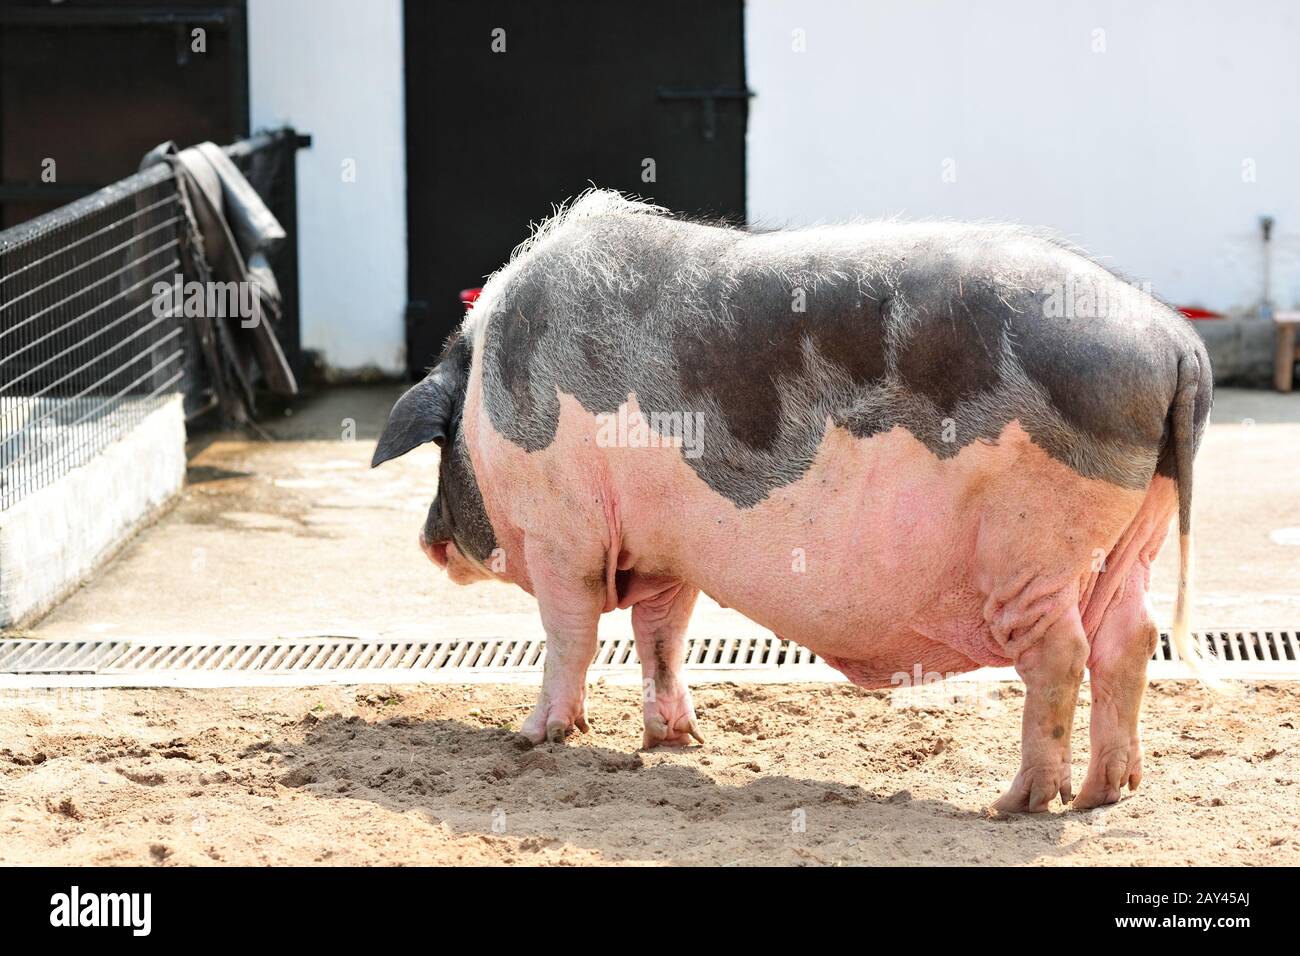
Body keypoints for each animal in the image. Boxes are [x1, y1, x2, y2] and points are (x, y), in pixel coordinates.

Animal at [372, 190, 1212, 813]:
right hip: (1134, 533)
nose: (426, 540)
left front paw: (532, 737)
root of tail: (1176, 342)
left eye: (440, 447)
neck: (483, 395)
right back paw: (1108, 793)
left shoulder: (561, 536)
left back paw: (1017, 805)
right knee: (1129, 640)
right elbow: (662, 636)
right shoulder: (667, 551)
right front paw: (676, 742)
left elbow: (568, 634)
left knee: (1061, 653)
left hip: (1038, 541)